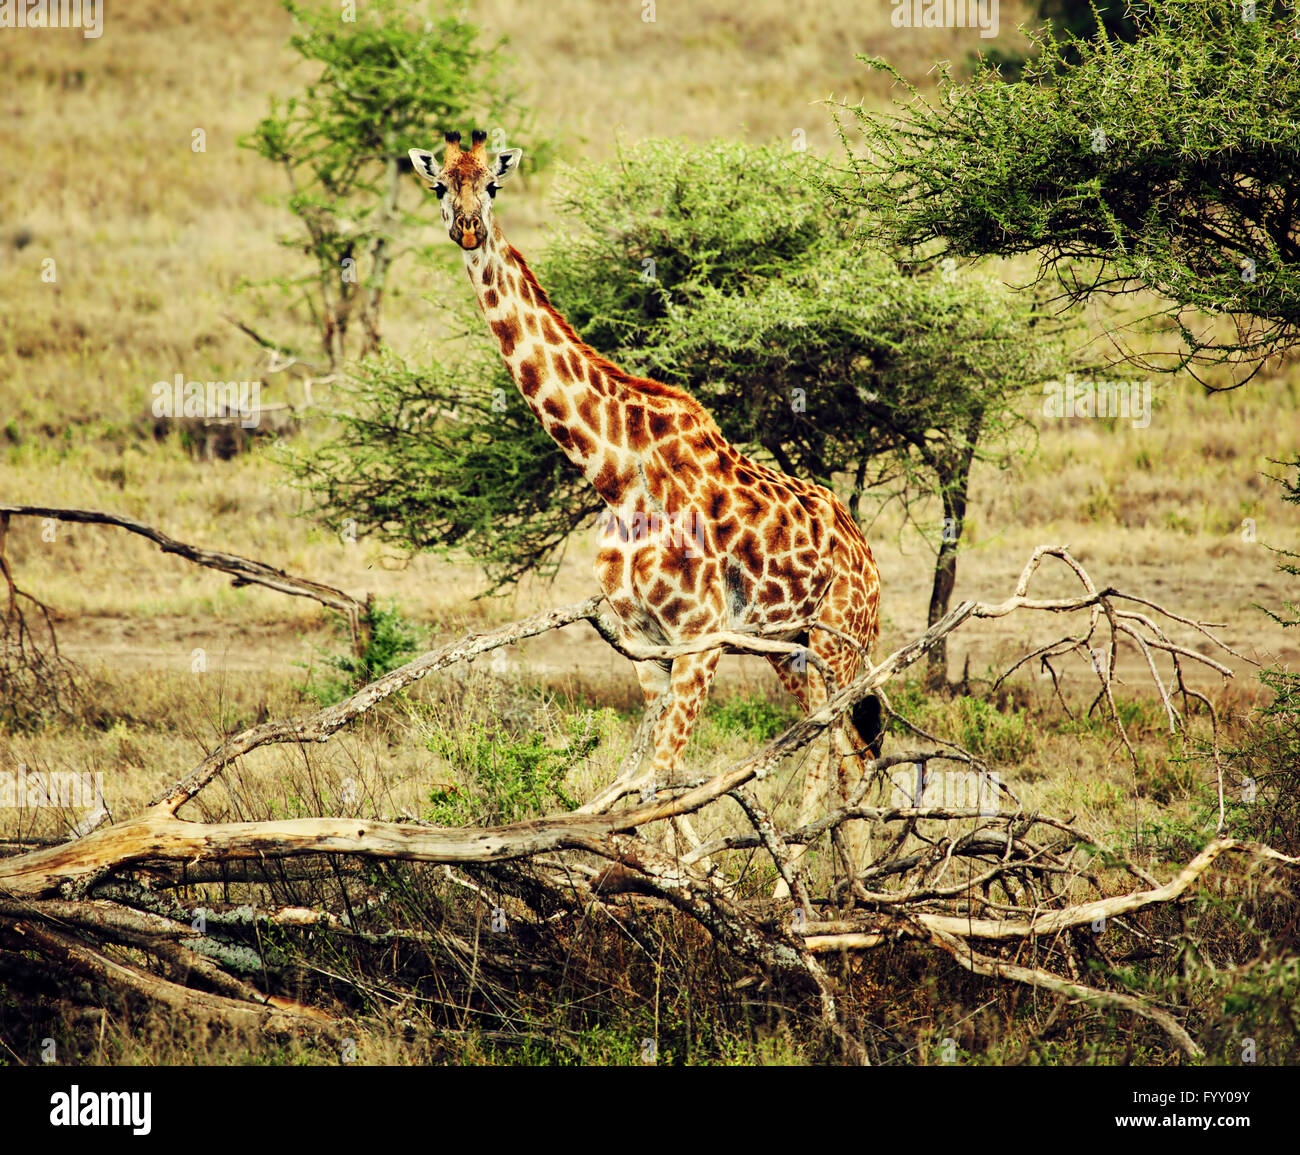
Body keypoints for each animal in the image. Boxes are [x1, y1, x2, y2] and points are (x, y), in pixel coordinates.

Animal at [409, 131, 884, 893]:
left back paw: (836, 887)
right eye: (440, 186)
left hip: (841, 638)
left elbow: (663, 773)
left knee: (848, 746)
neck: (613, 471)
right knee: (825, 736)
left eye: (492, 186)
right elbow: (652, 780)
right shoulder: (646, 643)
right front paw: (690, 880)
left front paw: (696, 887)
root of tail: (868, 557)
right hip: (792, 645)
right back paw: (816, 878)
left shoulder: (700, 634)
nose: (469, 231)